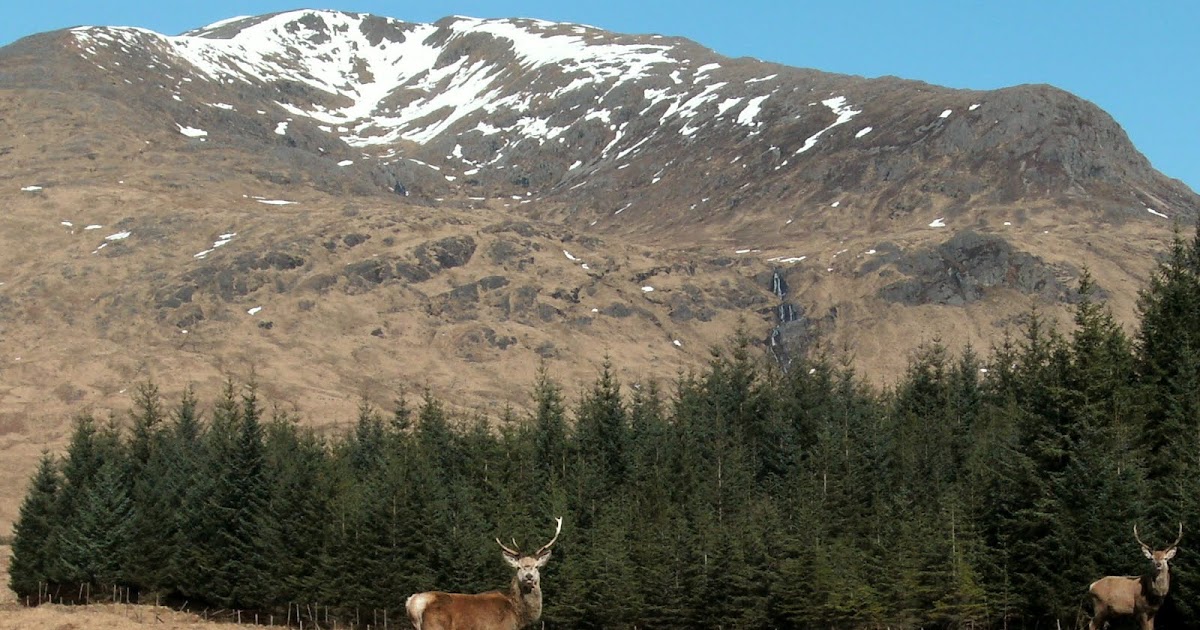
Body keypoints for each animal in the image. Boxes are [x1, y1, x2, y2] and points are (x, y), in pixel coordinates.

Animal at [406, 517, 562, 630]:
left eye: (536, 567)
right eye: (518, 567)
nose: (529, 577)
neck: (517, 615)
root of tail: (413, 603)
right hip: (435, 626)